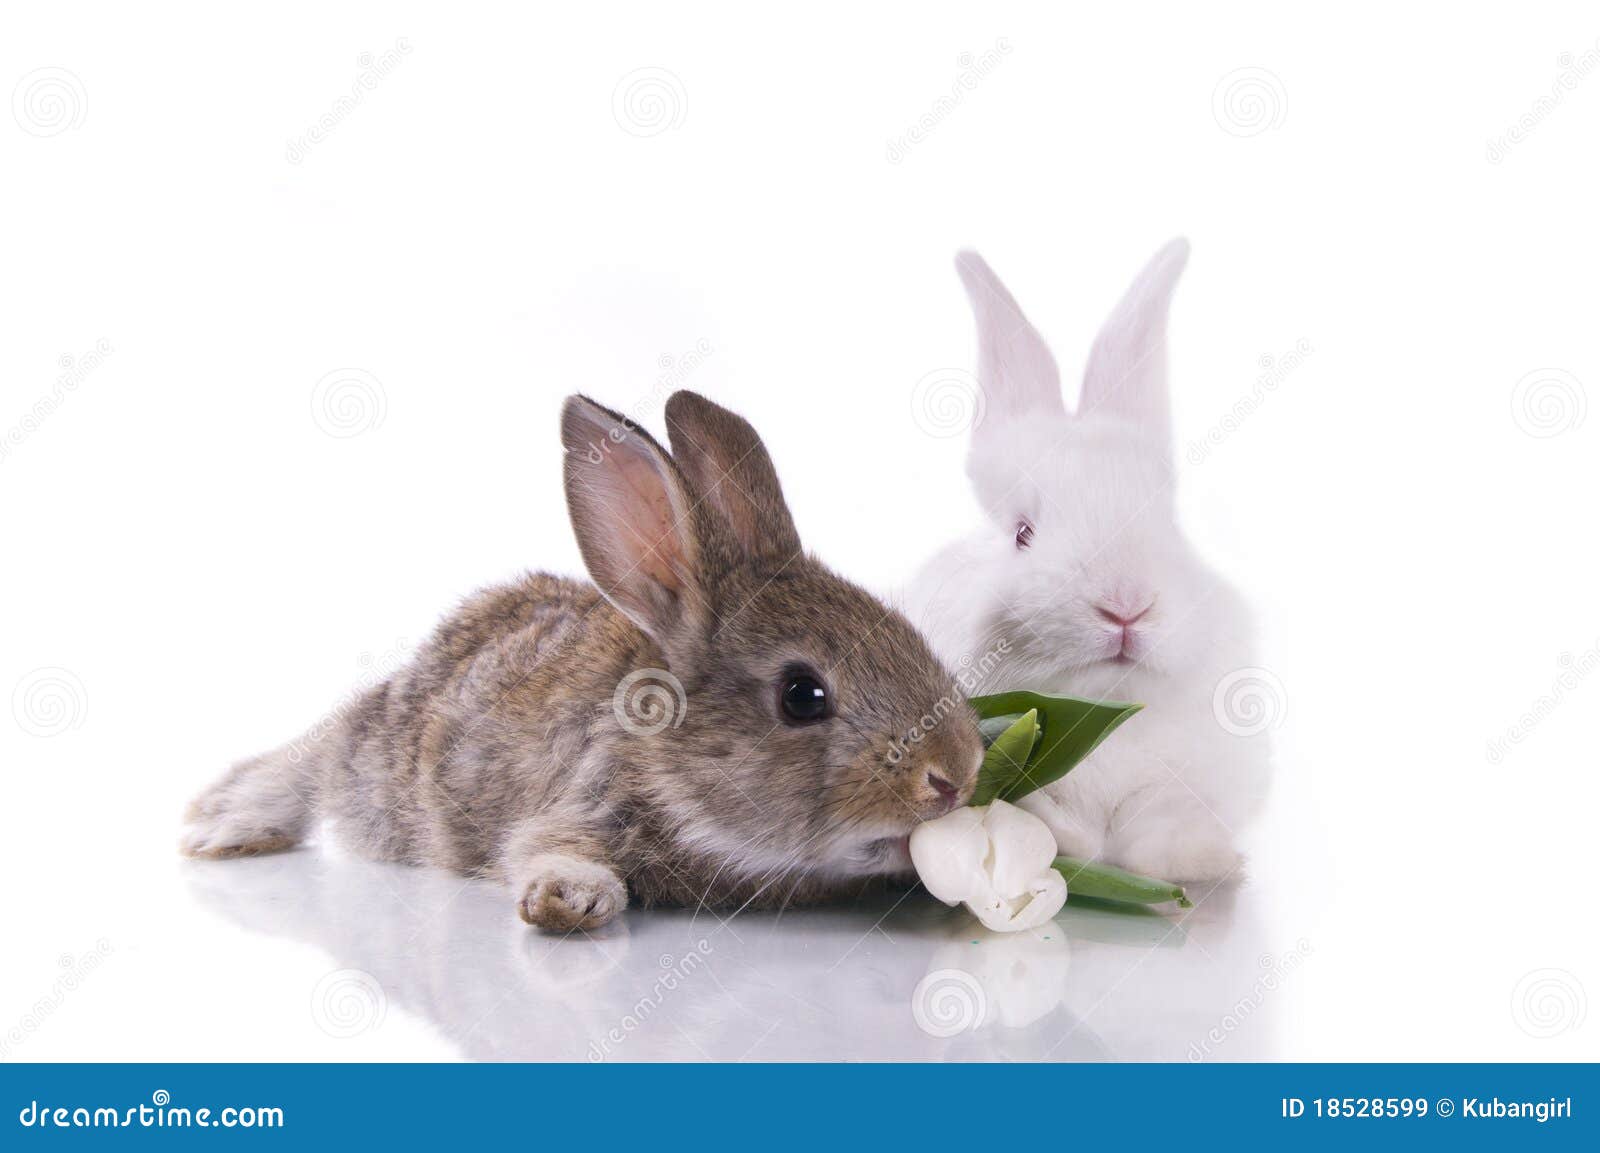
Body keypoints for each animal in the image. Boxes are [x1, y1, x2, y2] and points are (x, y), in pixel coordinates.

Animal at [183, 390, 985, 931]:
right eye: (802, 695)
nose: (954, 775)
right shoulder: (580, 797)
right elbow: (550, 849)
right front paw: (568, 899)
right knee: (310, 761)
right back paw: (222, 824)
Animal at [903, 240, 1270, 884]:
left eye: (1170, 524)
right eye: (1023, 534)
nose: (1126, 606)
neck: (1105, 707)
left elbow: (1160, 820)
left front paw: (1202, 859)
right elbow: (1045, 815)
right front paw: (1069, 842)